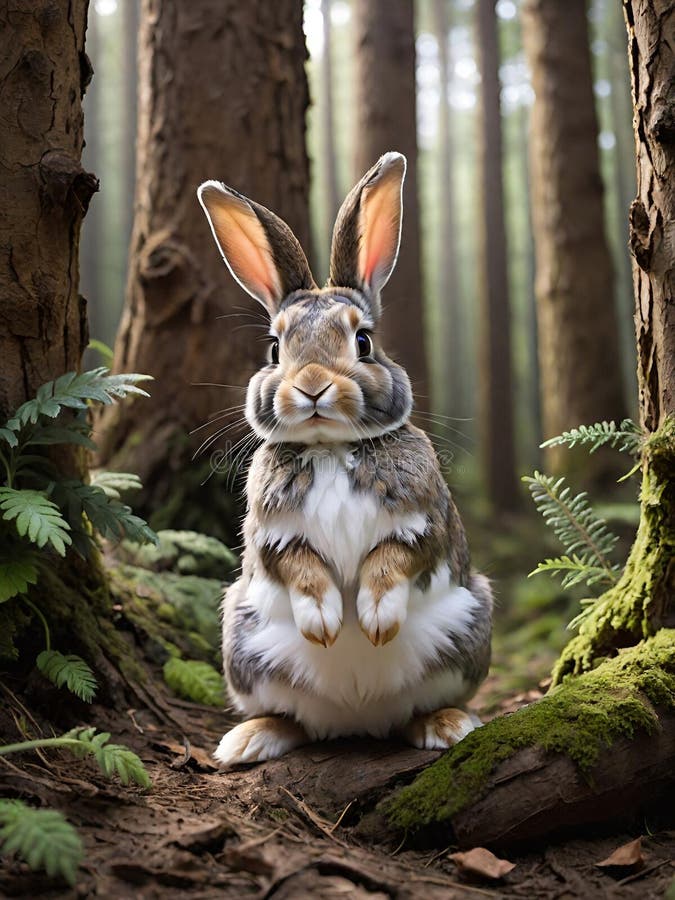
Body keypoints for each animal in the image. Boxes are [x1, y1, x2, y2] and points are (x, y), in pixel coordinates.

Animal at [197, 152, 493, 767]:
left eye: (364, 342)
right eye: (274, 349)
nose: (311, 386)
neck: (330, 449)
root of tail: (357, 718)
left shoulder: (423, 521)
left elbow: (392, 559)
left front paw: (375, 621)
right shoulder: (274, 537)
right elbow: (300, 568)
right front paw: (326, 626)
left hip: (470, 625)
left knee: (424, 705)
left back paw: (447, 724)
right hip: (242, 641)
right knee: (291, 716)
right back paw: (250, 739)